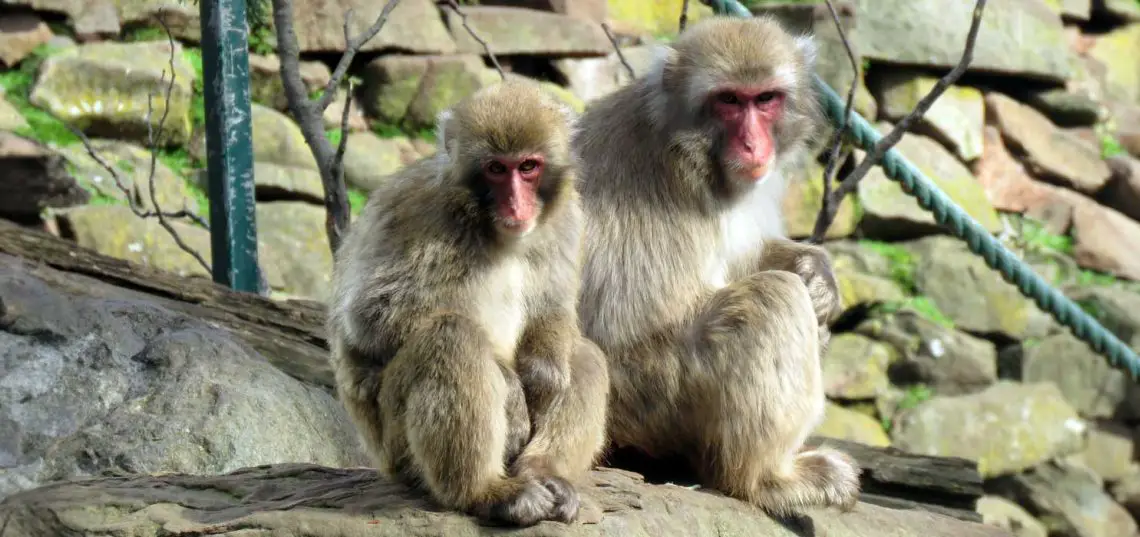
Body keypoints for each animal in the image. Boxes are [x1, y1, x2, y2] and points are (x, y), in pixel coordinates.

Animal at [326, 78, 609, 527]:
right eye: (496, 168)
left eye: (528, 167)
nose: (517, 204)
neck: (487, 225)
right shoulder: (419, 213)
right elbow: (371, 318)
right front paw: (510, 391)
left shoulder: (567, 218)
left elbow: (555, 307)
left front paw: (543, 372)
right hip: (396, 446)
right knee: (449, 335)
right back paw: (487, 492)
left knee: (584, 354)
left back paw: (545, 473)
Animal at [570, 16, 859, 517]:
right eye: (728, 100)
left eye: (765, 99)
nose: (753, 144)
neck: (694, 152)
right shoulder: (659, 181)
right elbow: (629, 320)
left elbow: (749, 254)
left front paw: (818, 273)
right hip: (643, 401)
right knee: (773, 299)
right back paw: (767, 479)